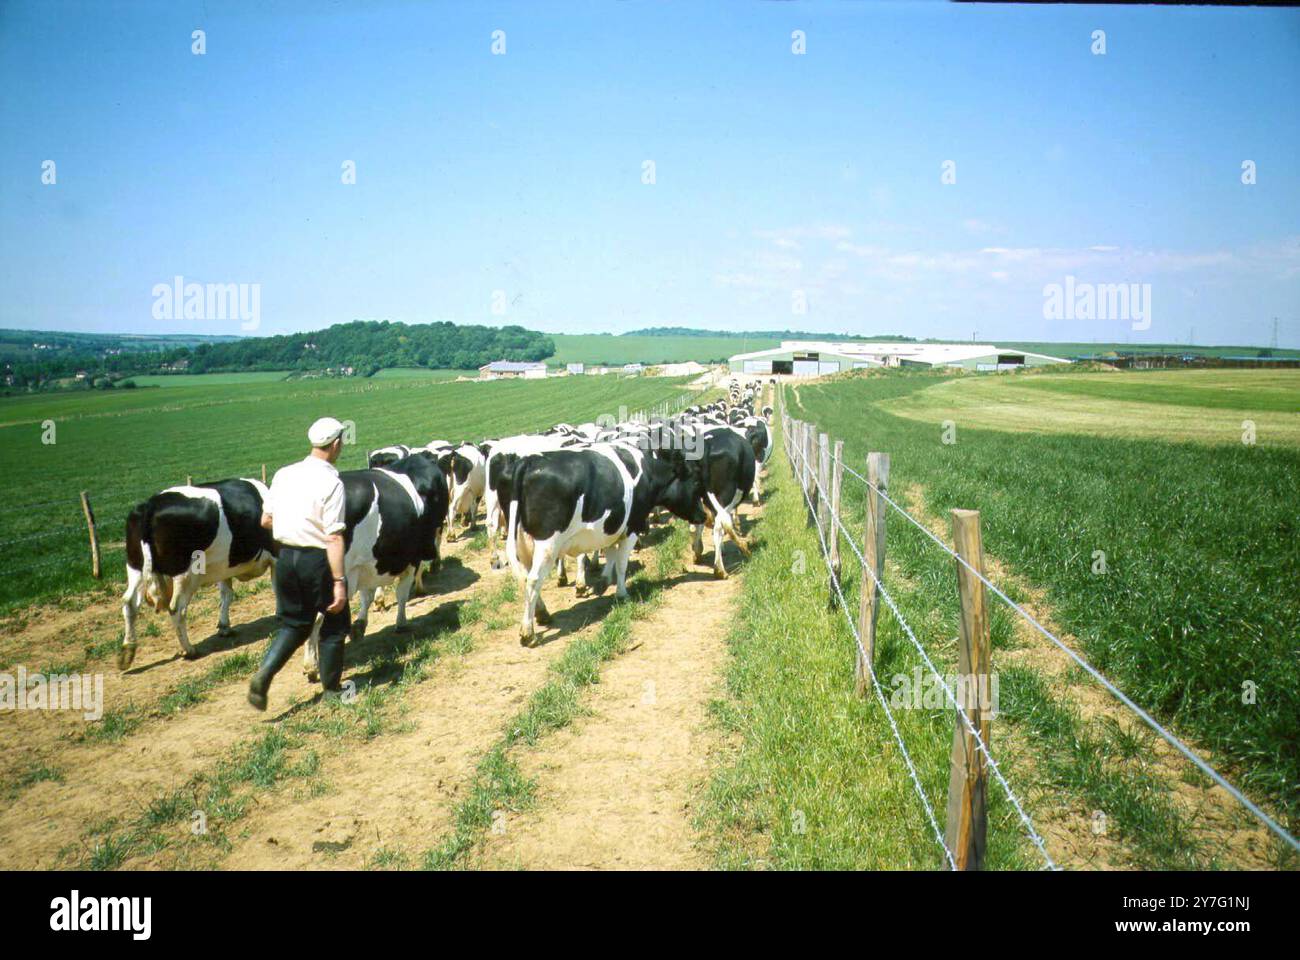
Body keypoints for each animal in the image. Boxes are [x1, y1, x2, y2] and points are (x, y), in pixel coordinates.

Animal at [120, 479, 276, 670]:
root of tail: (150, 504)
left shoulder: (223, 567)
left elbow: (226, 594)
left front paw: (224, 626)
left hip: (135, 566)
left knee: (129, 603)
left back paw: (127, 652)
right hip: (185, 573)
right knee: (177, 608)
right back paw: (189, 650)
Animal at [301, 450, 449, 680]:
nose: (430, 552)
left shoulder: (366, 563)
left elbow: (368, 595)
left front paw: (360, 624)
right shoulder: (409, 559)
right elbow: (401, 592)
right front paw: (401, 621)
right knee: (317, 617)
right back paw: (312, 666)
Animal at [506, 442, 703, 645]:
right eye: (696, 483)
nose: (703, 515)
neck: (647, 473)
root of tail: (529, 461)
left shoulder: (611, 526)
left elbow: (610, 554)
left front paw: (605, 580)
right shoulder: (631, 528)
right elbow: (622, 564)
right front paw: (622, 594)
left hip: (523, 543)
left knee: (524, 576)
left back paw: (542, 613)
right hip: (547, 543)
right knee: (533, 580)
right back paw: (528, 633)